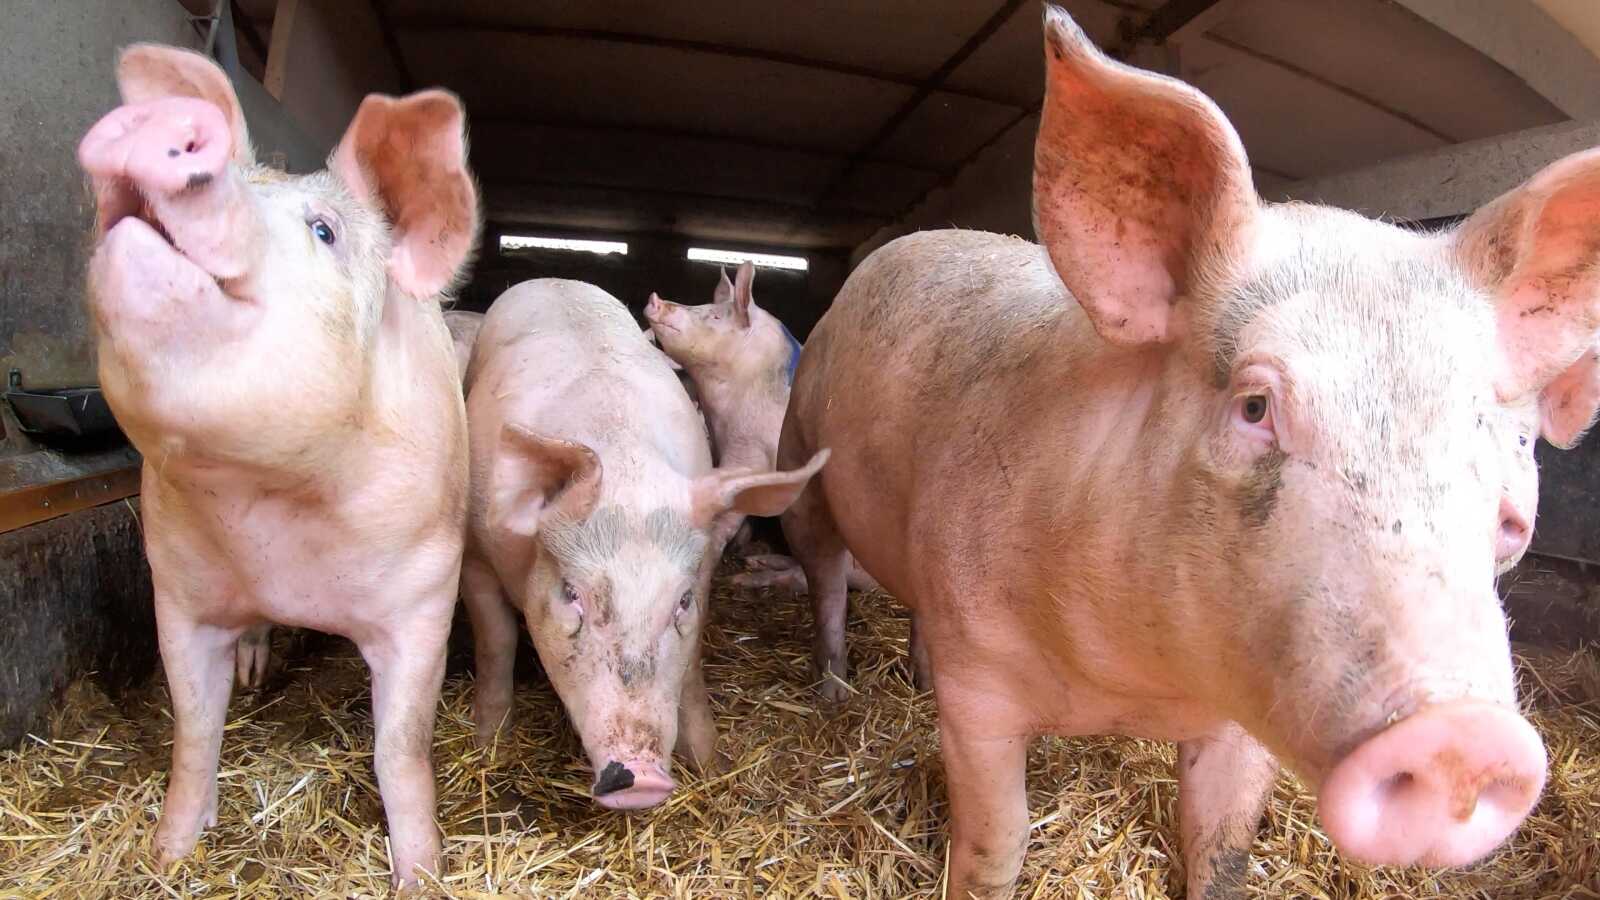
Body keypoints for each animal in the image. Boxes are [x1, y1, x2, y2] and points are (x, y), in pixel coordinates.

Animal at [76, 45, 478, 885]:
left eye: (324, 230)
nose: (171, 123)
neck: (276, 505)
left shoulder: (427, 592)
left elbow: (402, 750)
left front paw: (420, 878)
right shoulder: (178, 589)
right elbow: (194, 729)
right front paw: (168, 858)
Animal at [460, 279, 826, 808]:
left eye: (683, 600)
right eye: (571, 593)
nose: (642, 778)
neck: (624, 460)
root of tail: (557, 280)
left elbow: (690, 670)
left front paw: (711, 762)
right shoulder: (475, 557)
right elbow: (496, 644)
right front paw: (487, 741)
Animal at [644, 265, 911, 695]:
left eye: (714, 316)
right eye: (704, 303)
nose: (655, 299)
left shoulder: (752, 457)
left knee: (816, 578)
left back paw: (747, 577)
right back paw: (753, 562)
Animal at [777, 7, 1600, 897]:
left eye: (1504, 446)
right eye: (1255, 406)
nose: (1464, 732)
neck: (1137, 682)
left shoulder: (1241, 722)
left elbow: (1222, 850)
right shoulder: (978, 685)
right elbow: (999, 841)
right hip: (803, 461)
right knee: (825, 581)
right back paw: (832, 693)